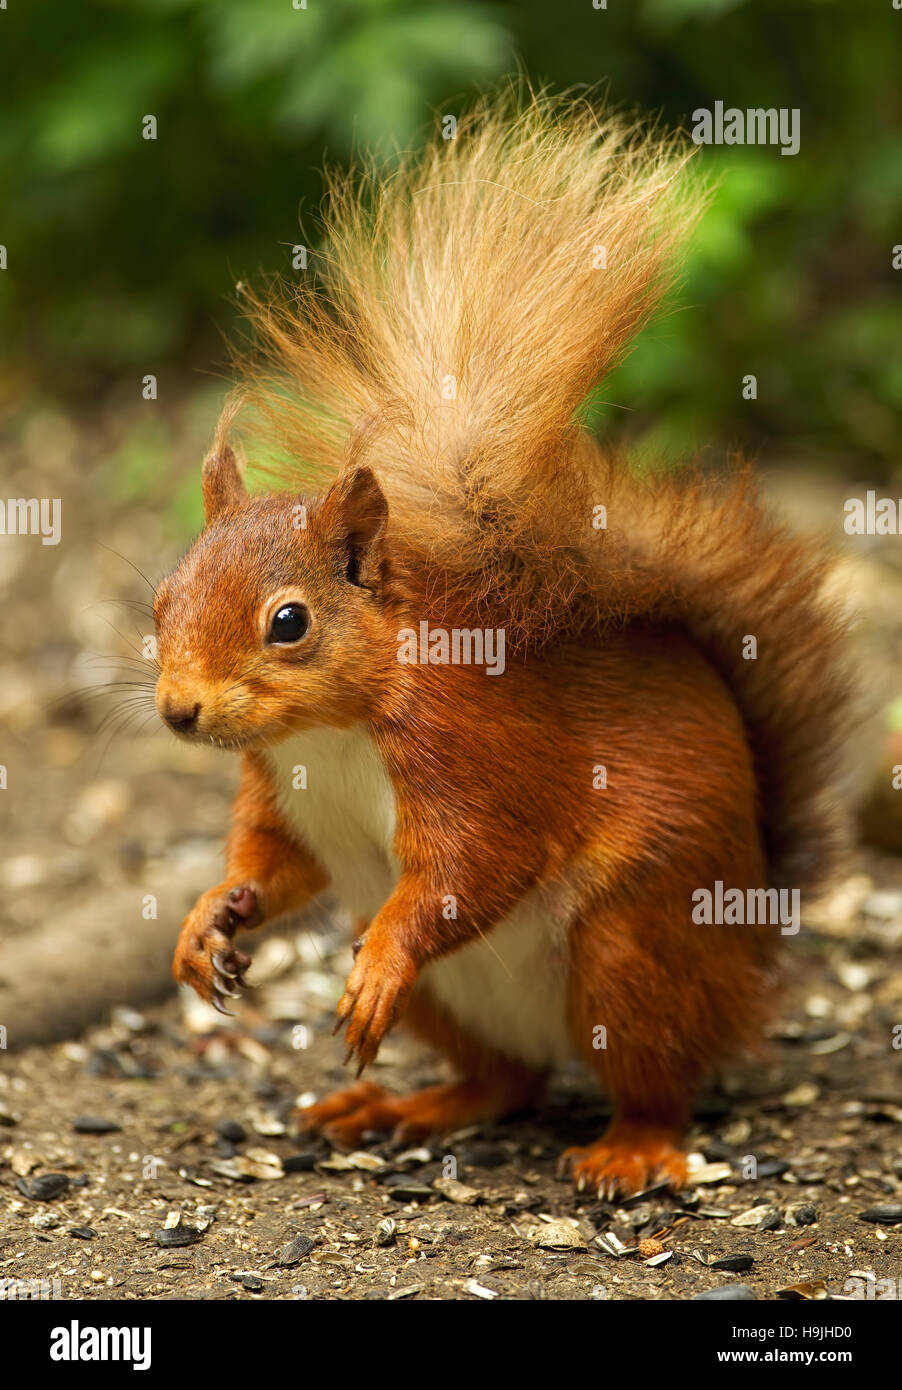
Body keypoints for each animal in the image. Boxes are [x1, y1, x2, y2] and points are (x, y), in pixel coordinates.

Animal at [152, 89, 853, 1197]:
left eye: (288, 622)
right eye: (160, 598)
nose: (180, 710)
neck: (331, 732)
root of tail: (749, 963)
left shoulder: (476, 749)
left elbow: (476, 866)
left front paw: (382, 955)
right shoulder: (279, 789)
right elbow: (274, 865)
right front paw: (207, 916)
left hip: (631, 947)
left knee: (652, 1078)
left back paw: (629, 1147)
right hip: (461, 1006)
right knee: (505, 1080)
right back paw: (402, 1104)